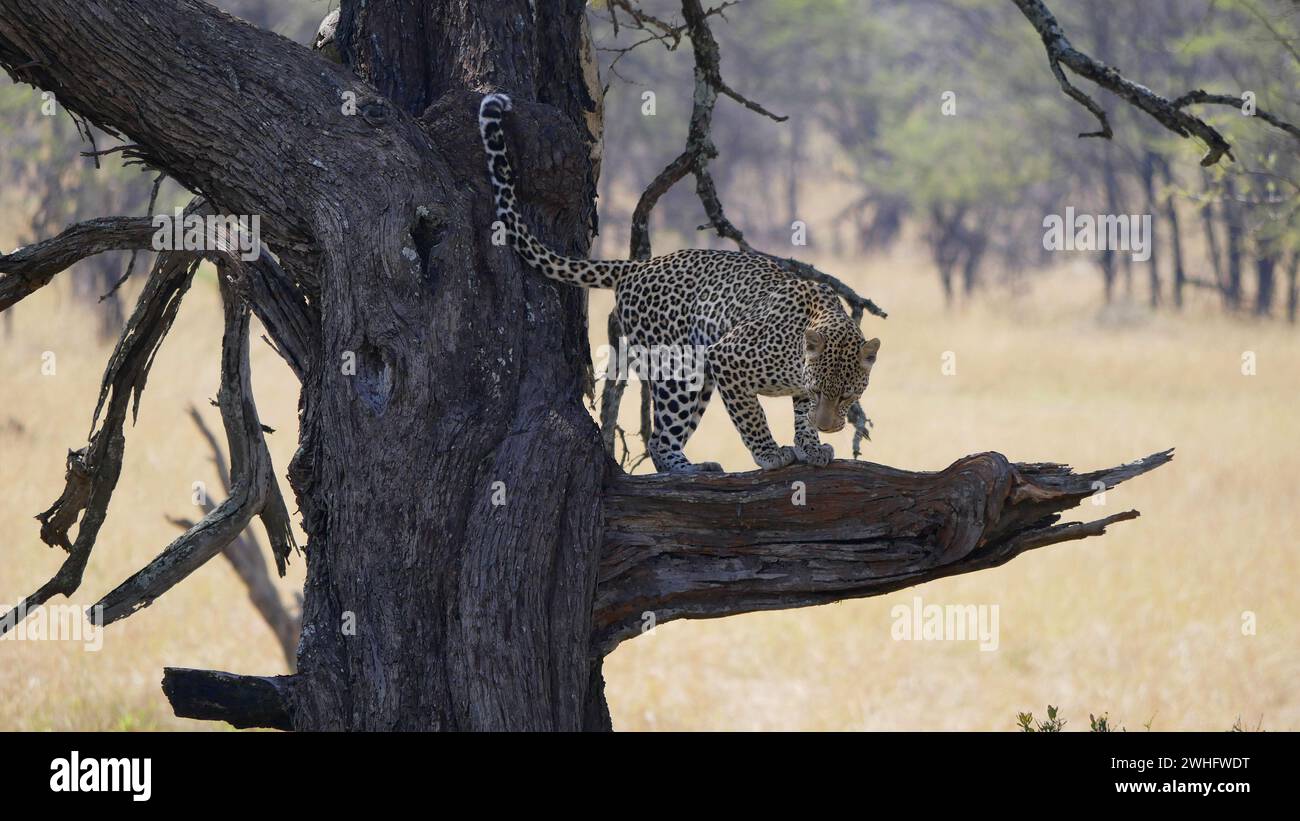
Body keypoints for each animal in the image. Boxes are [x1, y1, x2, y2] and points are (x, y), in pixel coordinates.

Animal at [479, 93, 880, 473]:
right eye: (820, 391)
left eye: (847, 396)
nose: (828, 426)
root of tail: (637, 267)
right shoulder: (727, 358)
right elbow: (751, 415)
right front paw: (770, 454)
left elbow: (799, 415)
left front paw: (811, 444)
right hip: (680, 367)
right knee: (660, 438)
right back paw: (688, 469)